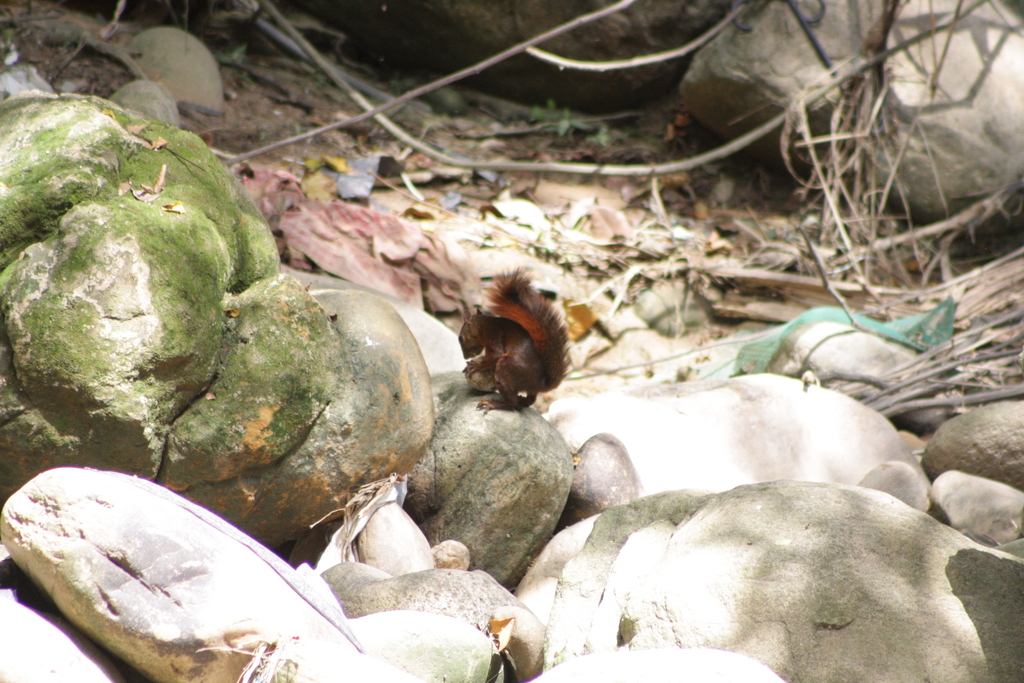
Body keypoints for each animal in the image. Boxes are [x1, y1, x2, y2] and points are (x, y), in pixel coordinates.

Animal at [459, 269, 570, 412]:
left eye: (460, 338)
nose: (466, 356)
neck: (483, 324)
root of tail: (540, 383)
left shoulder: (492, 335)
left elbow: (495, 355)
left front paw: (476, 365)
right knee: (530, 400)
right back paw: (522, 400)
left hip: (506, 368)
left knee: (511, 403)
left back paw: (494, 404)